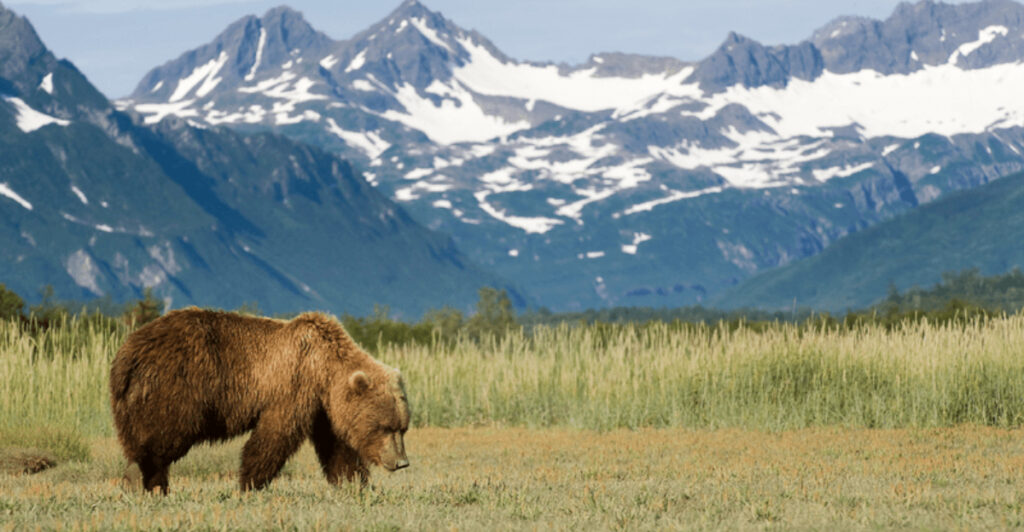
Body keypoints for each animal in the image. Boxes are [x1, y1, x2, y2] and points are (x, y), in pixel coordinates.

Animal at [109, 307, 410, 494]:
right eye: (385, 427)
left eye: (402, 428)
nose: (402, 462)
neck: (324, 369)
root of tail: (127, 351)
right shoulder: (293, 386)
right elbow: (273, 437)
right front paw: (249, 484)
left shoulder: (324, 409)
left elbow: (337, 449)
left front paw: (355, 484)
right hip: (176, 387)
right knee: (163, 435)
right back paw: (142, 480)